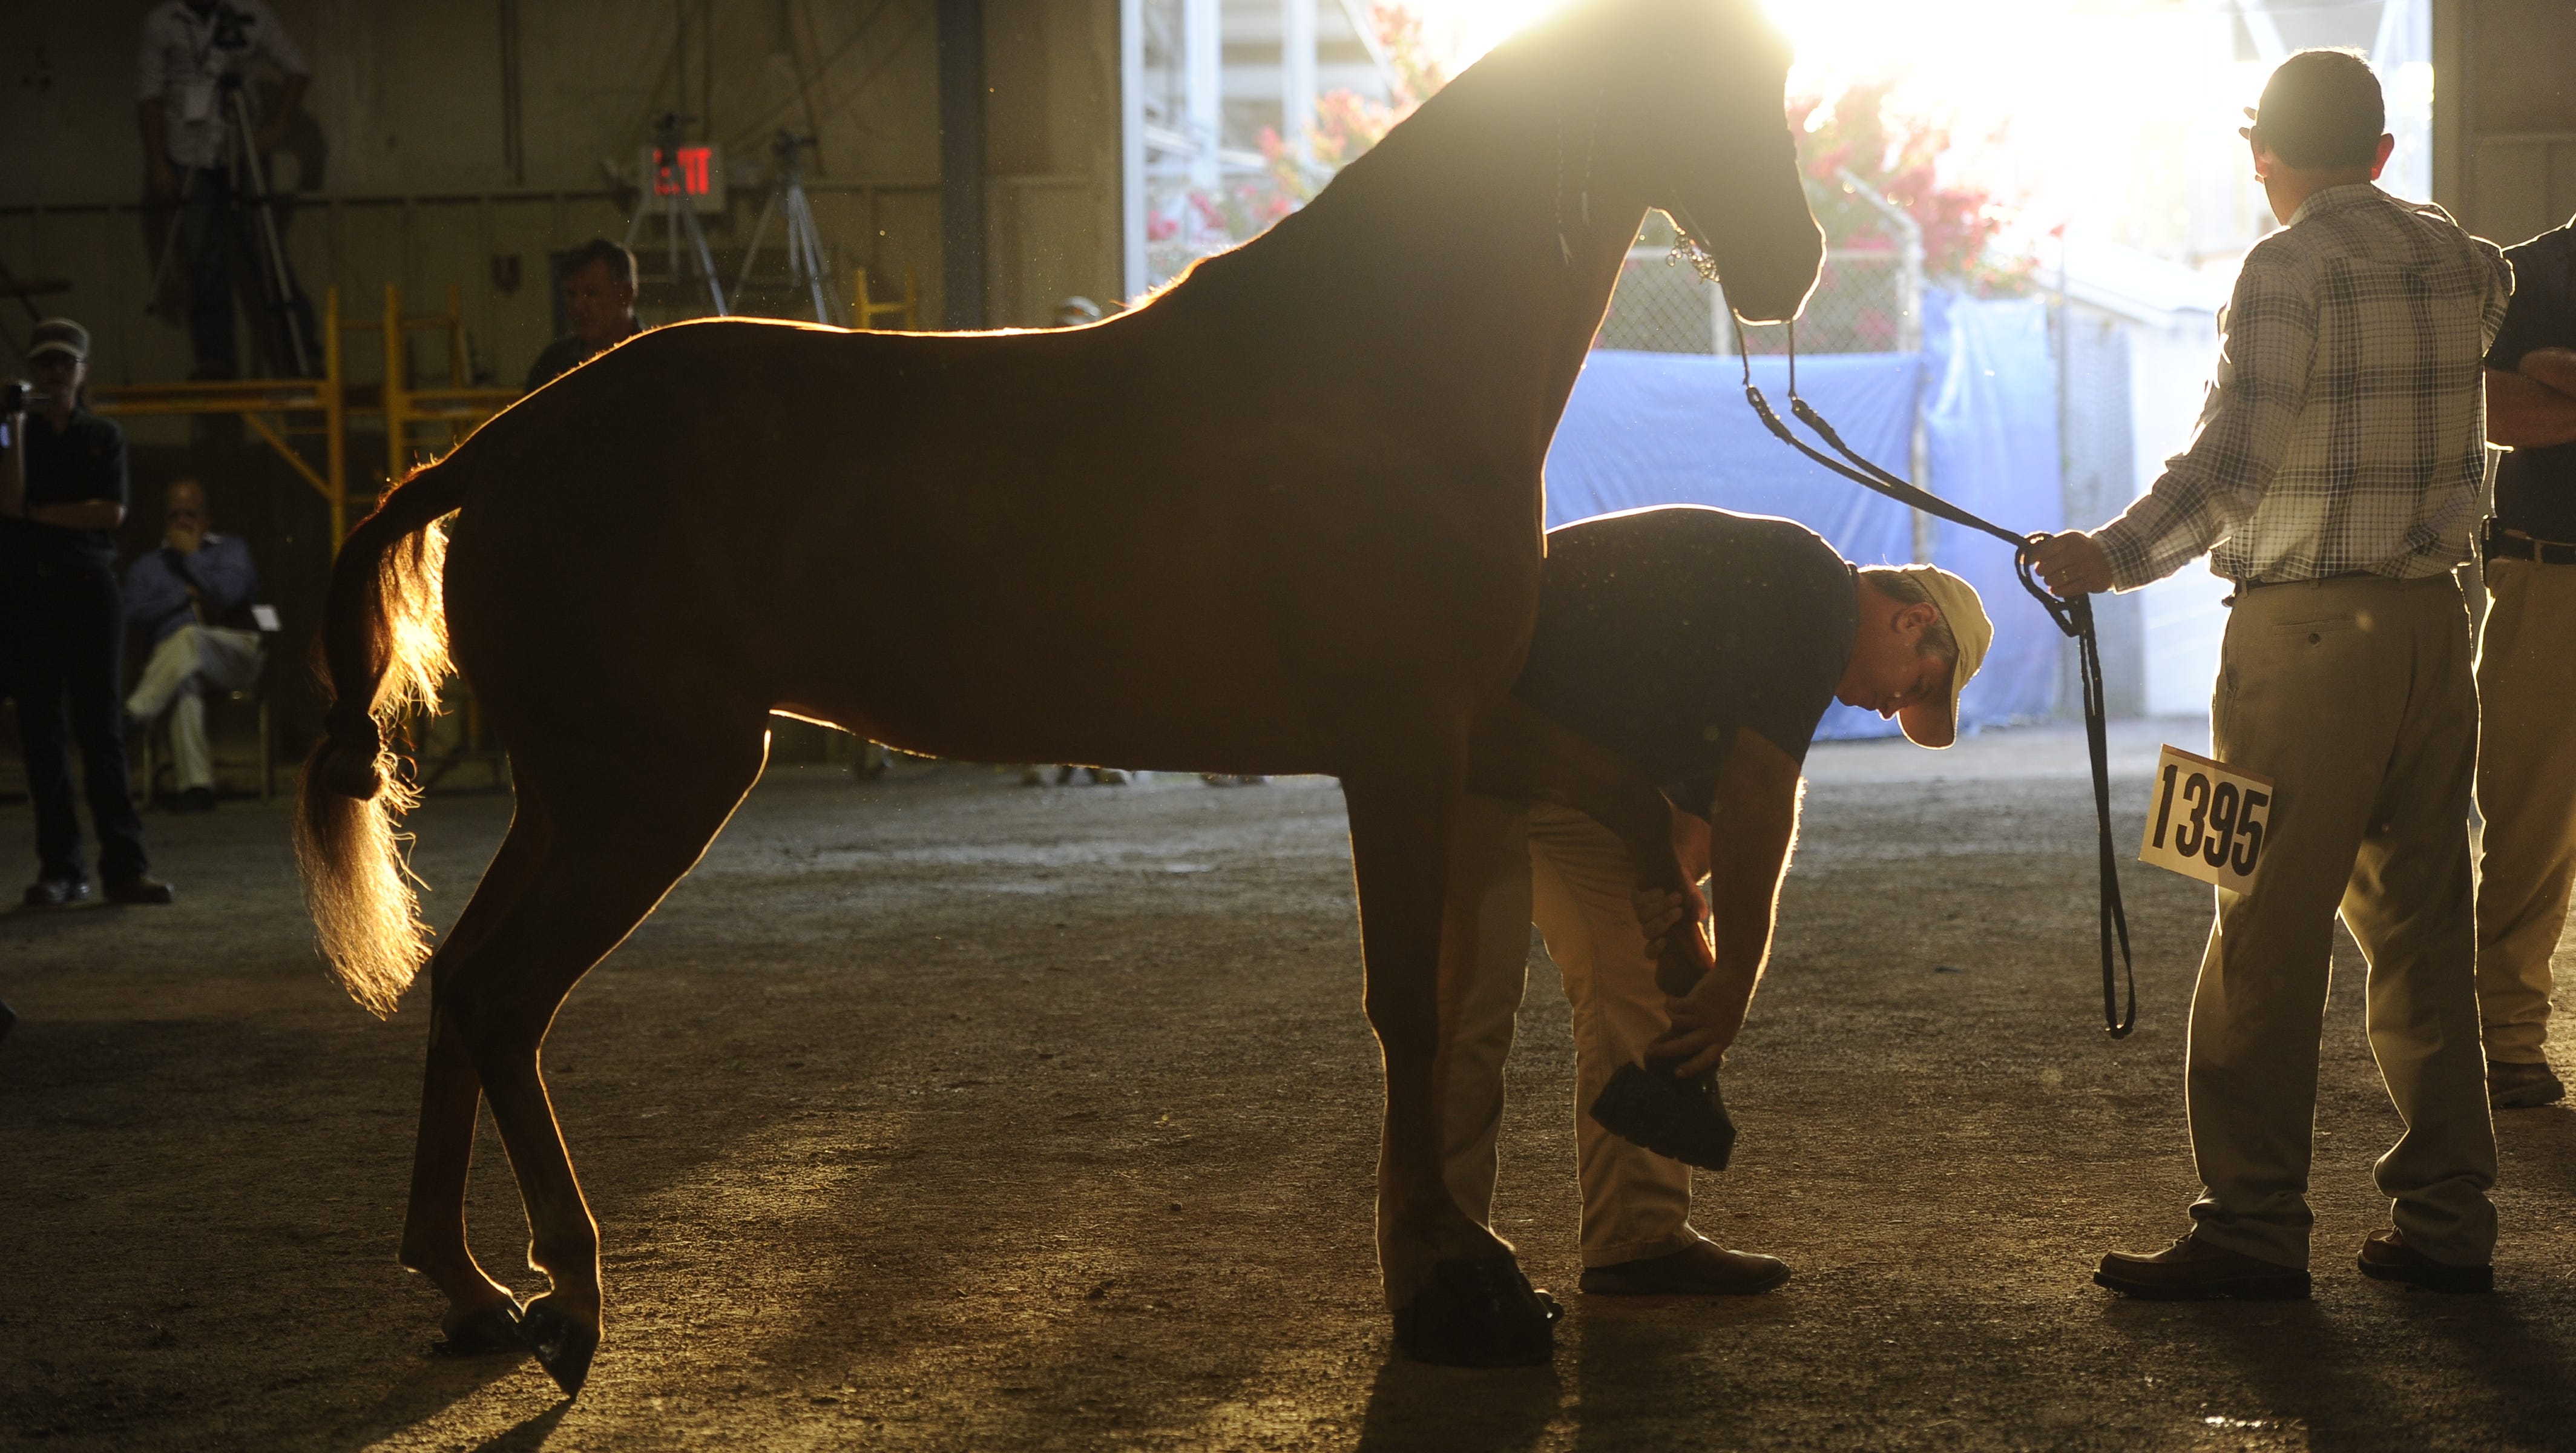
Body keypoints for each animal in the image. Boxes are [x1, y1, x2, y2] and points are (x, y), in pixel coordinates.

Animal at [293, 0, 1820, 1393]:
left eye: (1776, 64)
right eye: (1690, 74)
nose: (1793, 262)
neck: (1377, 373)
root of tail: (495, 451)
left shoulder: (1471, 728)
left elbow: (1625, 806)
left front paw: (1681, 1015)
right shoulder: (1399, 746)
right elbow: (1410, 1006)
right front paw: (1454, 1280)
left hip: (575, 797)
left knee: (460, 982)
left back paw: (471, 1285)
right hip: (649, 792)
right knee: (503, 998)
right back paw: (569, 1291)